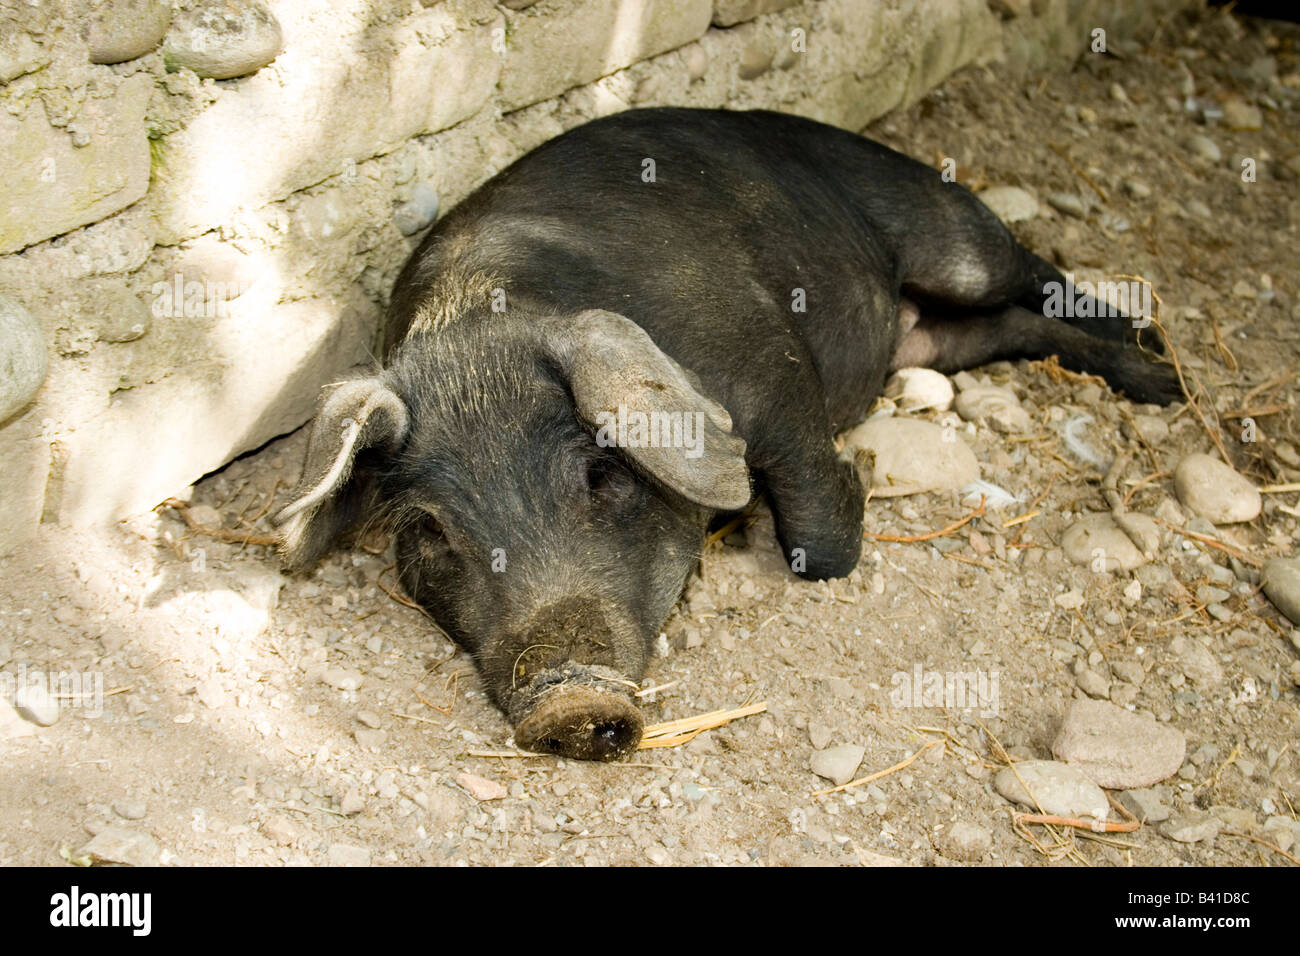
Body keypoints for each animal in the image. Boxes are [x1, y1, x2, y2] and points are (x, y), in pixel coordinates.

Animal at [275, 108, 1178, 760]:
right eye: (431, 532)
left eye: (602, 474)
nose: (568, 697)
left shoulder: (776, 369)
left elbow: (815, 528)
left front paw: (857, 478)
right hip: (948, 336)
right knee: (1009, 329)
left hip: (953, 236)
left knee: (1037, 272)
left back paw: (1163, 365)